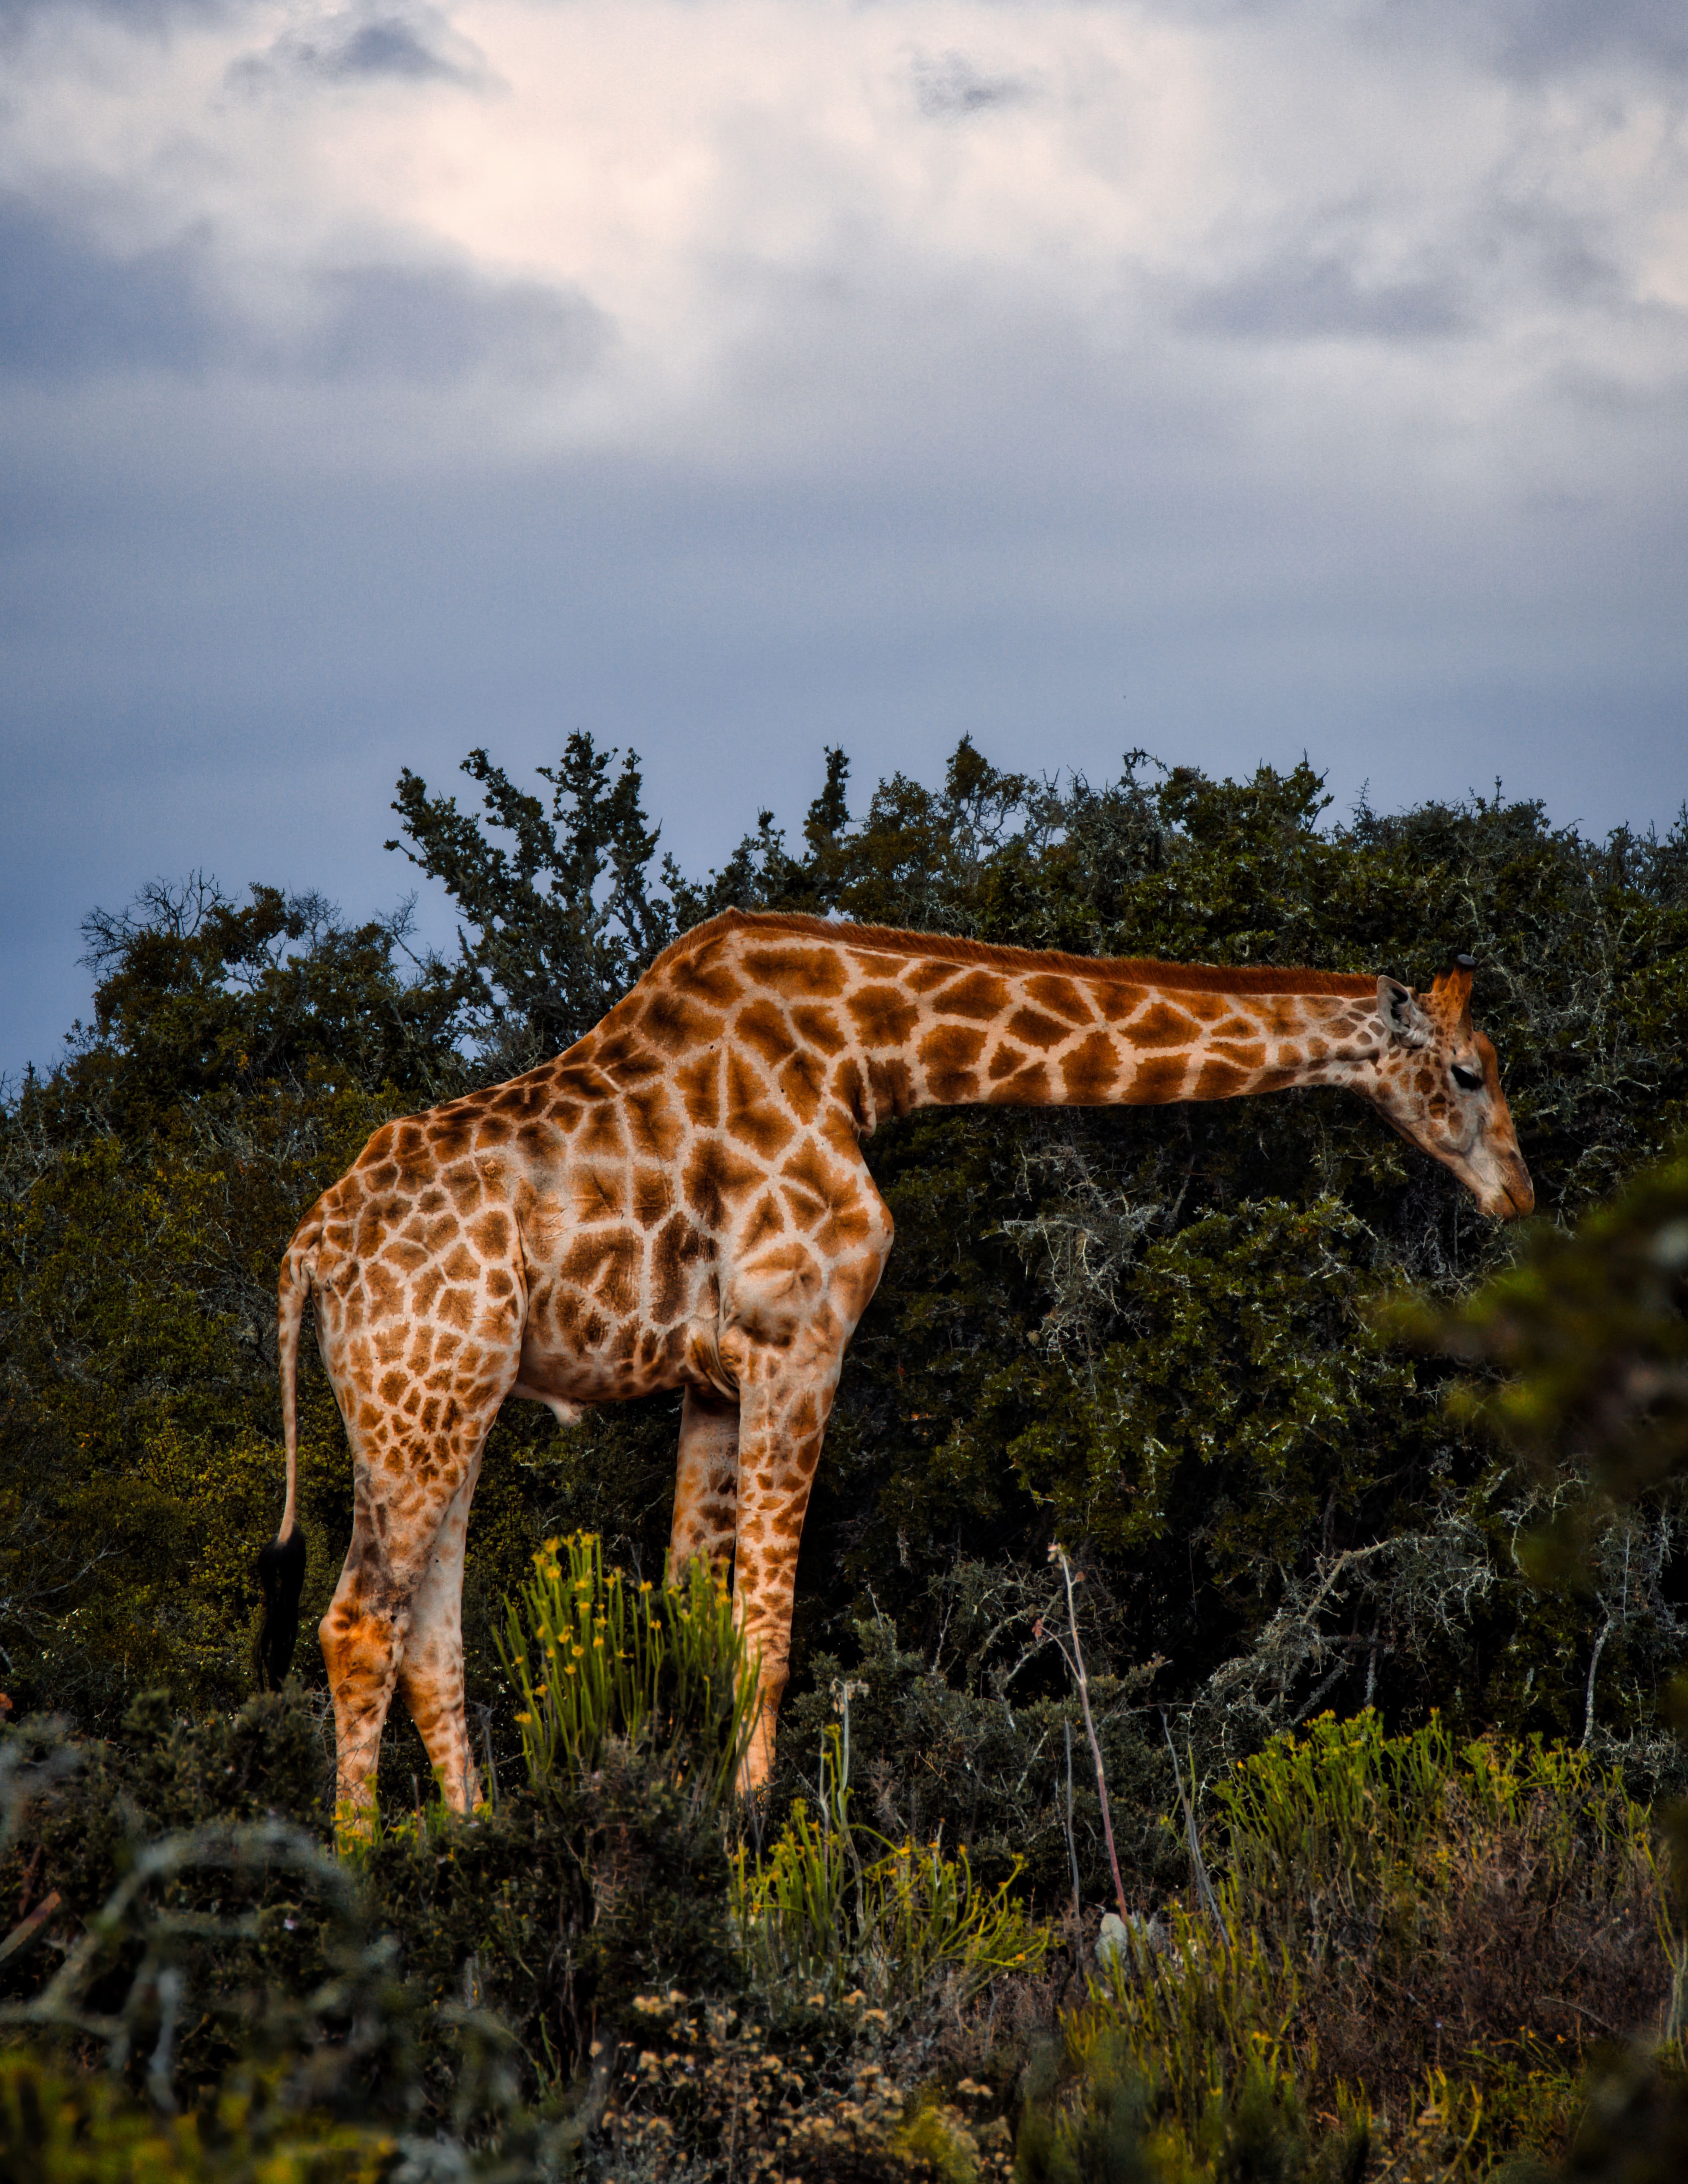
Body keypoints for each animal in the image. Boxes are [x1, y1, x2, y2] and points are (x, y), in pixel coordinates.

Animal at [260, 911, 1532, 1817]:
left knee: (429, 1632)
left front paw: (679, 1801)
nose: (1518, 1194)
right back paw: (368, 1873)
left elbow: (692, 1611)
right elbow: (767, 1631)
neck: (865, 1056)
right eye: (1470, 1073)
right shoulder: (798, 1336)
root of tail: (310, 1250)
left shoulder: (711, 1379)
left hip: (445, 1397)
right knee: (358, 1622)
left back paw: (474, 1843)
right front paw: (755, 1834)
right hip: (421, 1388)